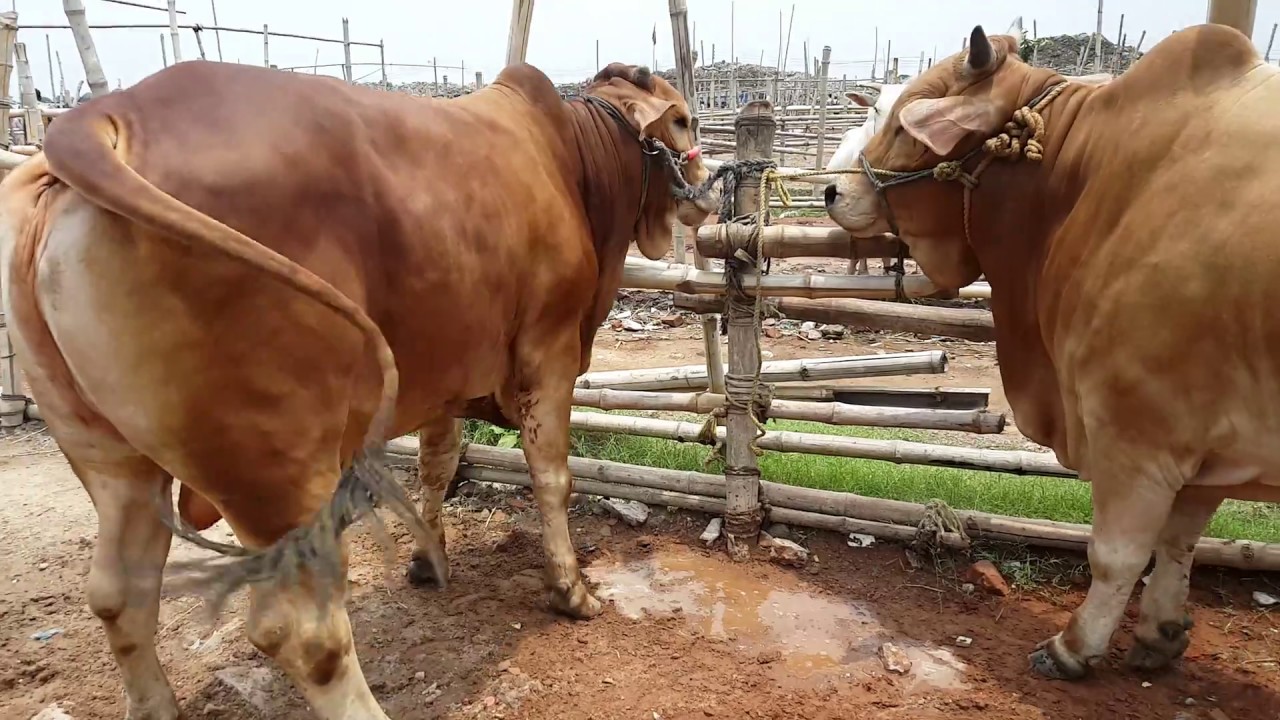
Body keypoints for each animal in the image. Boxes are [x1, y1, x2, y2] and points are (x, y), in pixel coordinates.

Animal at [0, 59, 713, 719]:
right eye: (684, 119)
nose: (706, 189)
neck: (572, 160)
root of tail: (105, 114)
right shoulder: (551, 352)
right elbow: (553, 478)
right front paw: (572, 591)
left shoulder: (445, 376)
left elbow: (437, 464)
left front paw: (428, 561)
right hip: (279, 475)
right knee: (302, 632)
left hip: (114, 463)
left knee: (120, 596)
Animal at [825, 23, 1280, 681]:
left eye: (906, 119)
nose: (833, 189)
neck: (1081, 179)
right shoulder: (1202, 449)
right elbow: (1178, 541)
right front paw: (1160, 634)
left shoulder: (1139, 434)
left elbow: (1119, 552)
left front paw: (1074, 646)